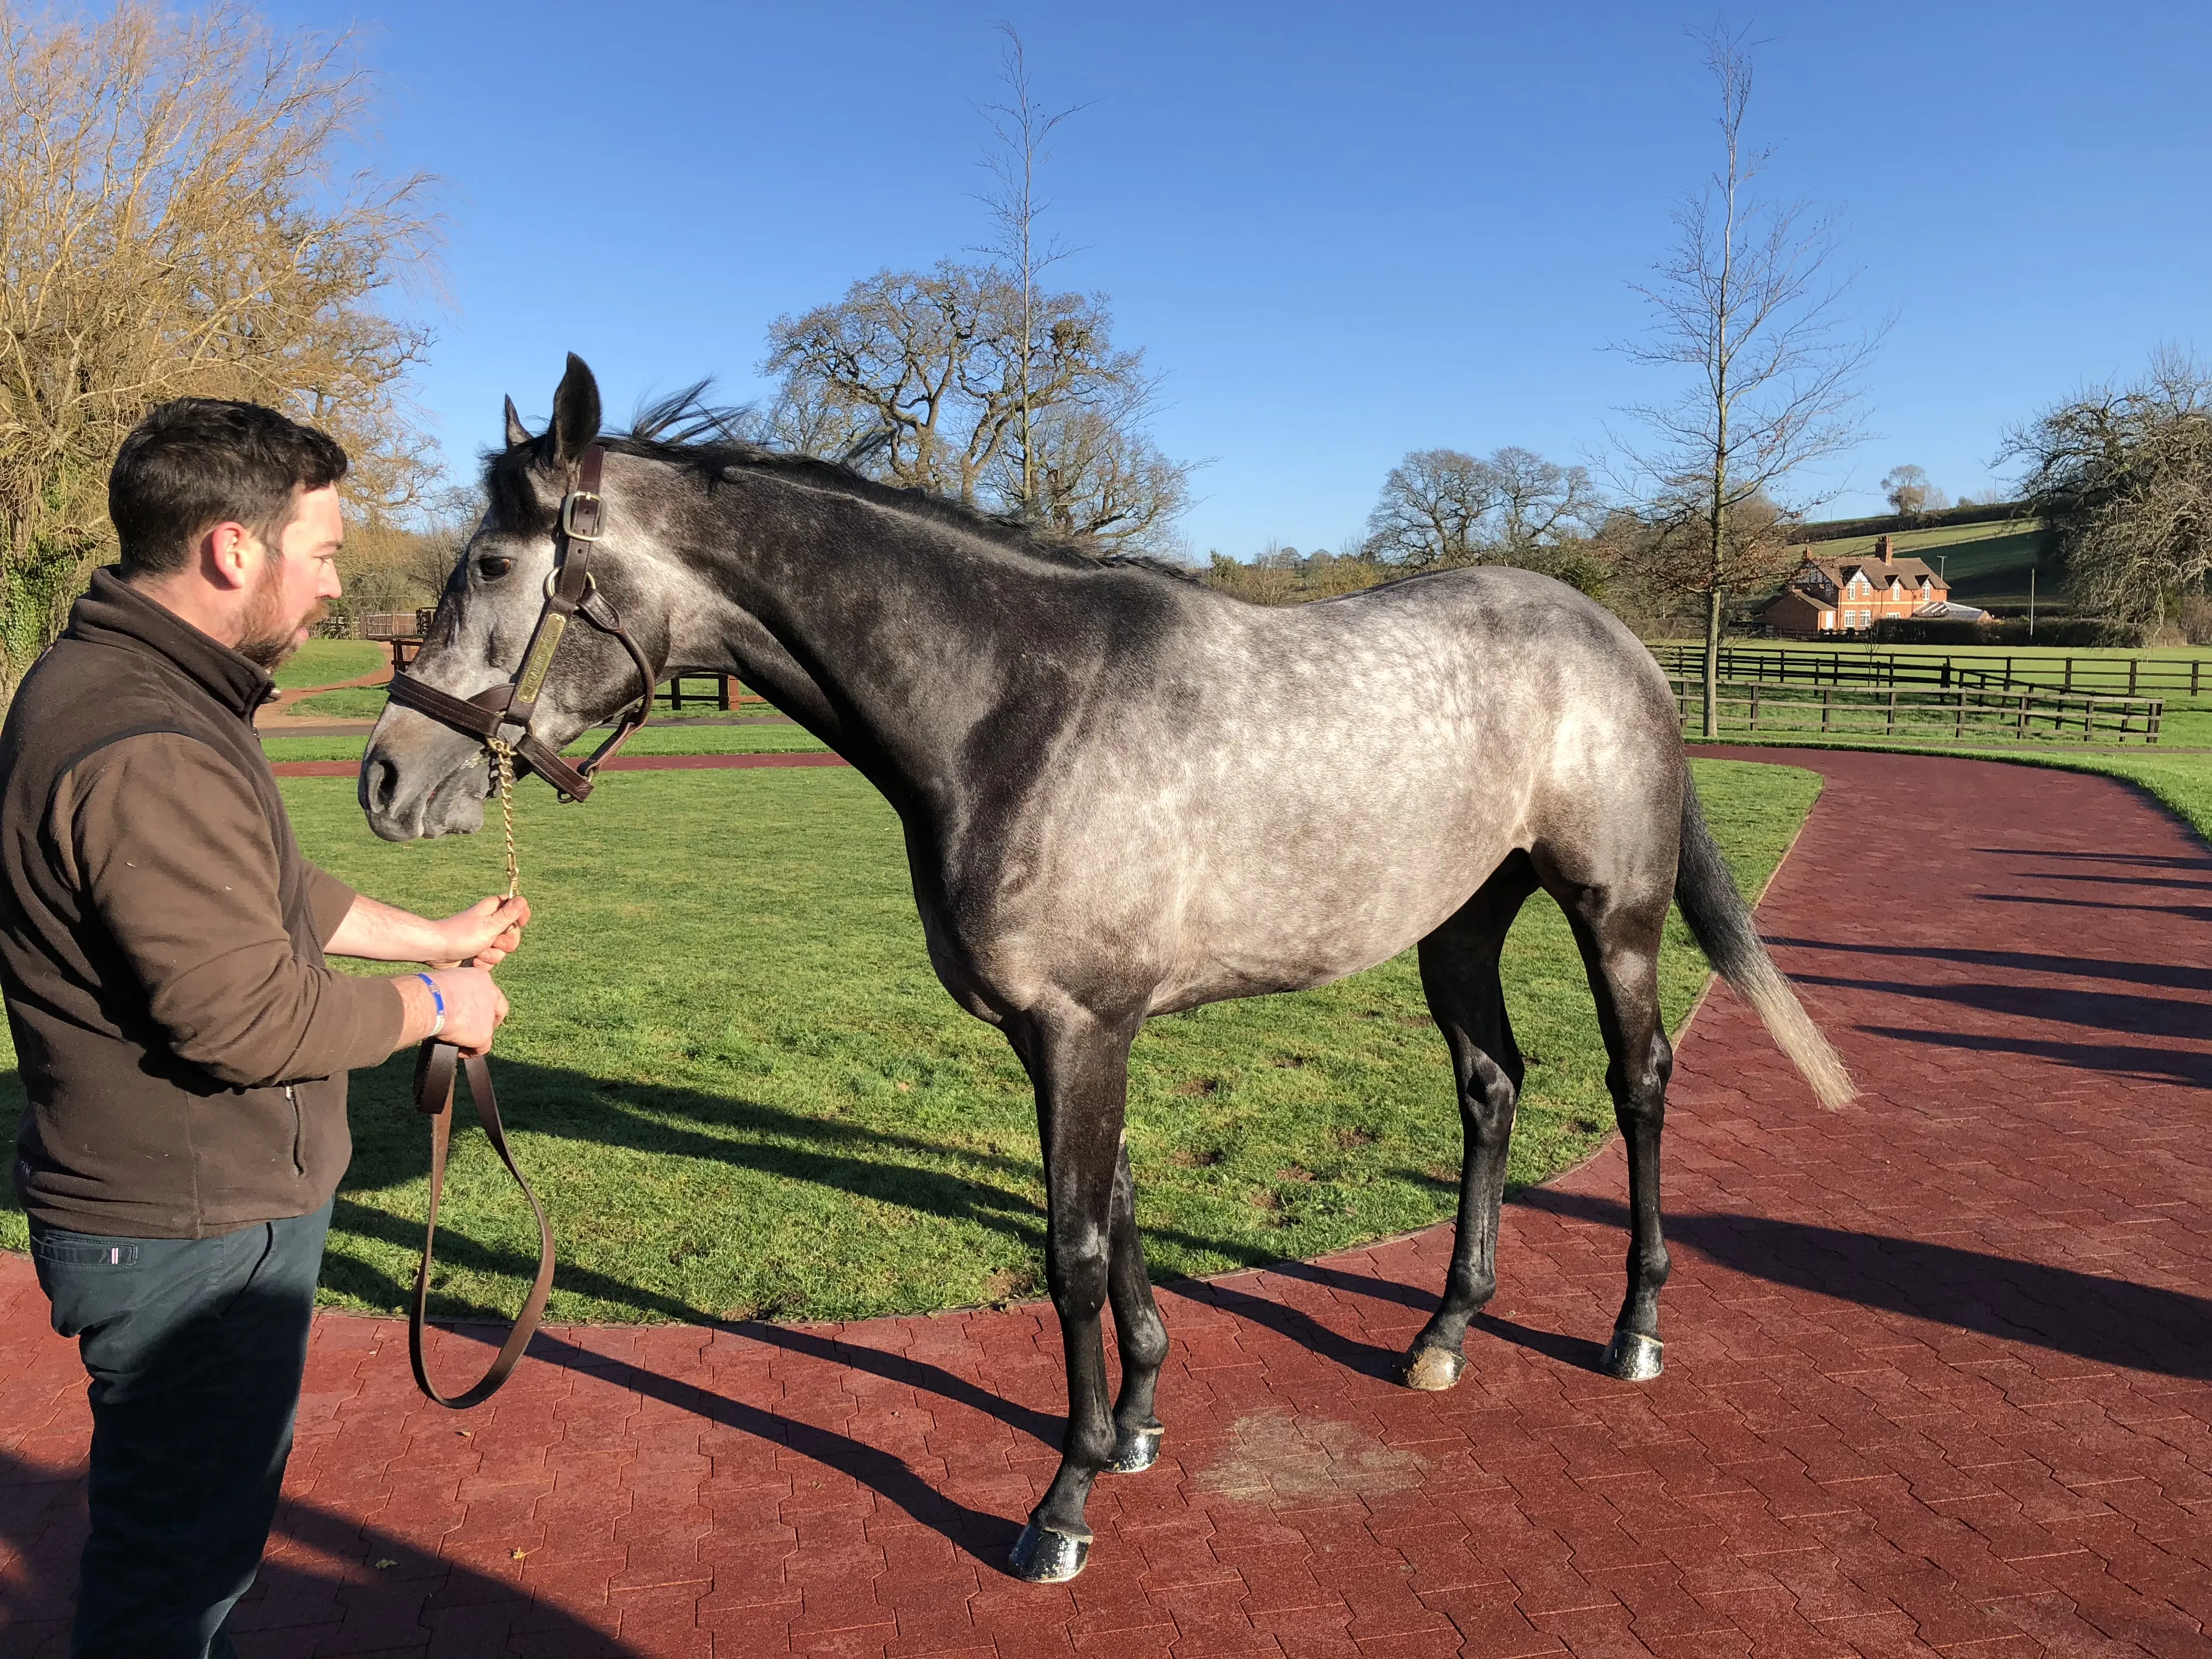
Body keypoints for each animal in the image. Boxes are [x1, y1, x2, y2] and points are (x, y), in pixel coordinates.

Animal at [361, 355, 1852, 1584]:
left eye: (492, 564)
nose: (386, 778)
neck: (1017, 705)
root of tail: (1619, 647)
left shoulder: (1083, 1027)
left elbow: (1072, 1247)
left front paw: (1063, 1503)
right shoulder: (1075, 1033)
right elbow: (1122, 1214)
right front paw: (1135, 1424)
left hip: (1616, 913)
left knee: (1639, 1081)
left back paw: (1632, 1330)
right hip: (1462, 923)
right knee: (1491, 1087)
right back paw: (1444, 1334)